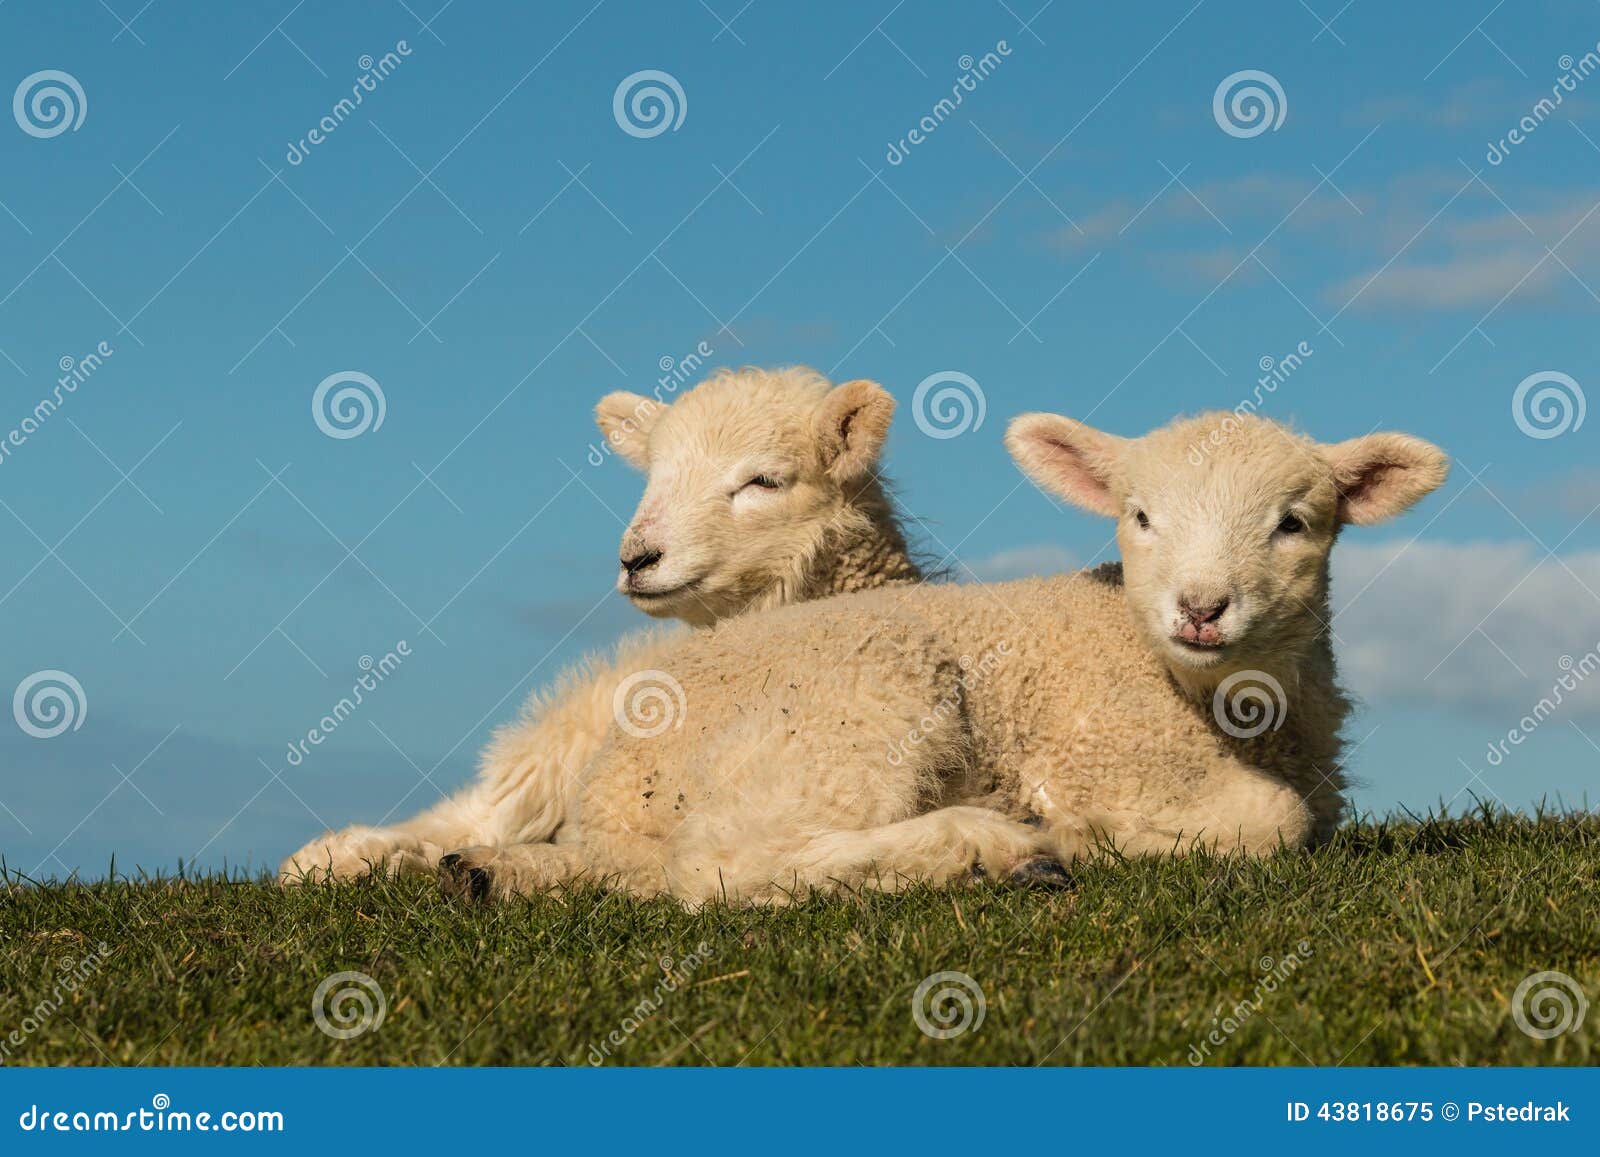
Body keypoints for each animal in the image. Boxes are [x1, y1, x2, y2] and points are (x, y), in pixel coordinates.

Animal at [280, 367, 925, 883]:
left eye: (764, 480)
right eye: (653, 477)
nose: (636, 558)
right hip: (559, 741)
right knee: (479, 814)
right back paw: (340, 856)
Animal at [434, 409, 1449, 905]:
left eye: (1294, 523)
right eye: (1140, 515)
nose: (1200, 608)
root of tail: (616, 777)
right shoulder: (1100, 755)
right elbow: (1273, 821)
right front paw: (1088, 835)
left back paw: (490, 873)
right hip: (857, 710)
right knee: (722, 865)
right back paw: (996, 850)